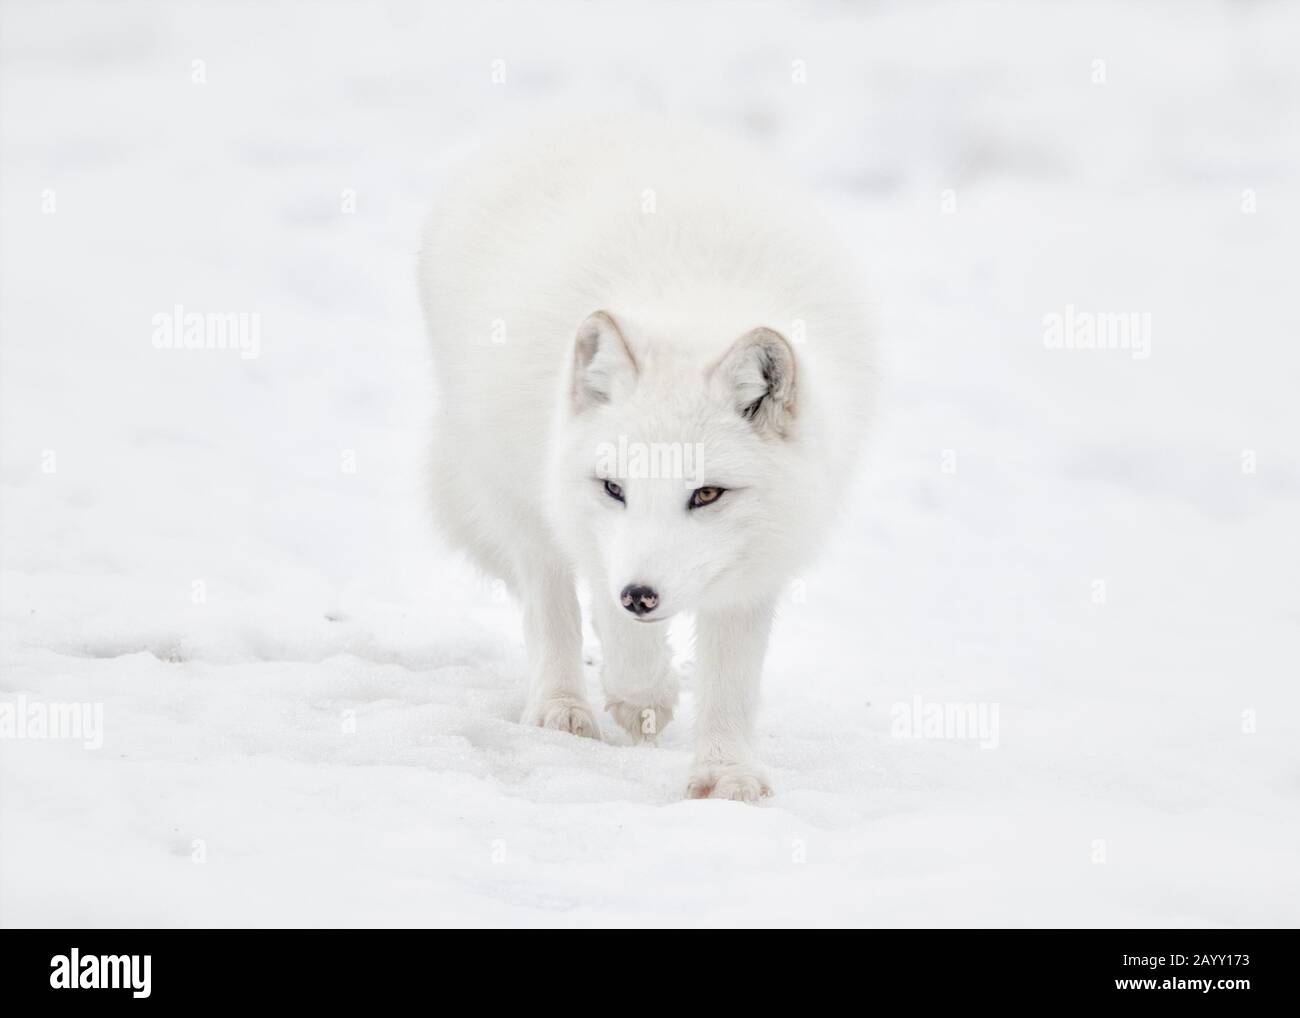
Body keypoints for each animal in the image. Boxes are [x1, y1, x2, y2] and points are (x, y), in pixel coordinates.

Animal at [418, 117, 873, 801]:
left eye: (707, 493)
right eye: (614, 488)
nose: (641, 595)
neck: (690, 304)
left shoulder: (755, 567)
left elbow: (732, 682)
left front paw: (726, 774)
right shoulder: (592, 533)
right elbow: (611, 625)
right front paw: (643, 696)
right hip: (518, 490)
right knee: (552, 604)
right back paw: (564, 708)